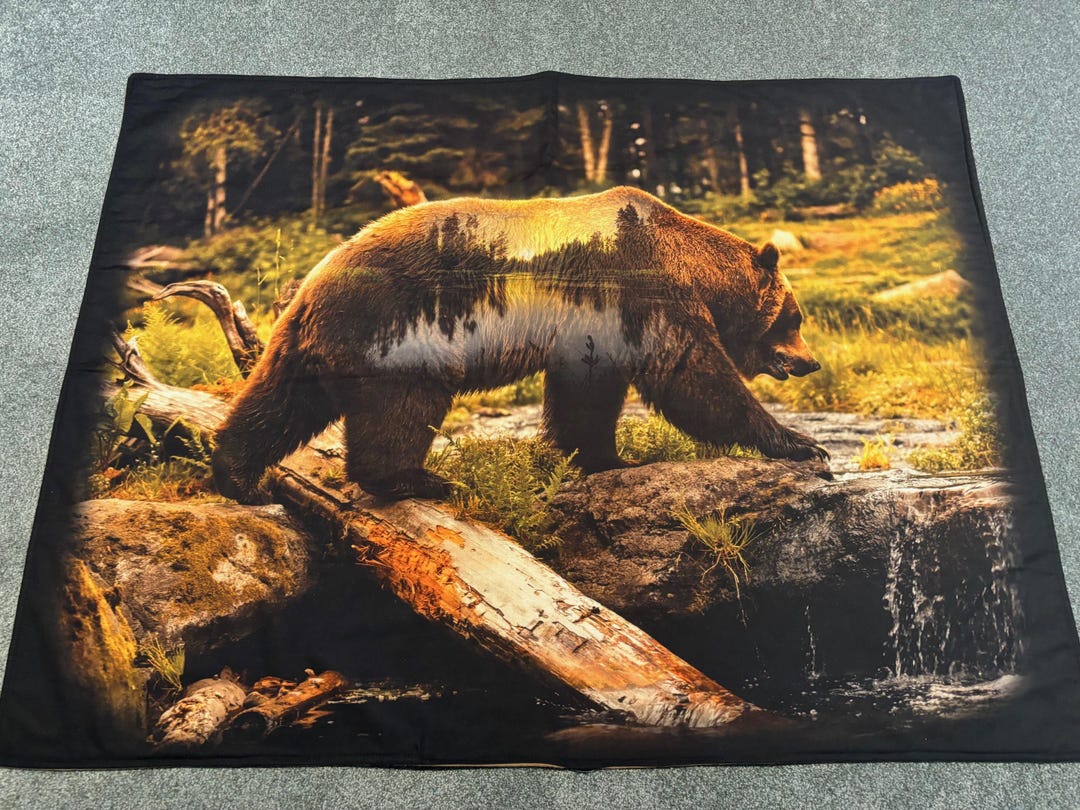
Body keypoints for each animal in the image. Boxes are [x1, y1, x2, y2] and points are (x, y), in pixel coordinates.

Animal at [213, 186, 826, 503]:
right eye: (793, 317)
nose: (810, 362)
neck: (690, 262)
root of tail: (314, 284)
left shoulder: (590, 325)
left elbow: (587, 395)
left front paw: (603, 458)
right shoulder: (637, 290)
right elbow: (693, 376)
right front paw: (800, 443)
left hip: (309, 344)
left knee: (277, 404)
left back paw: (237, 475)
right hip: (404, 327)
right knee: (401, 407)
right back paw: (418, 479)